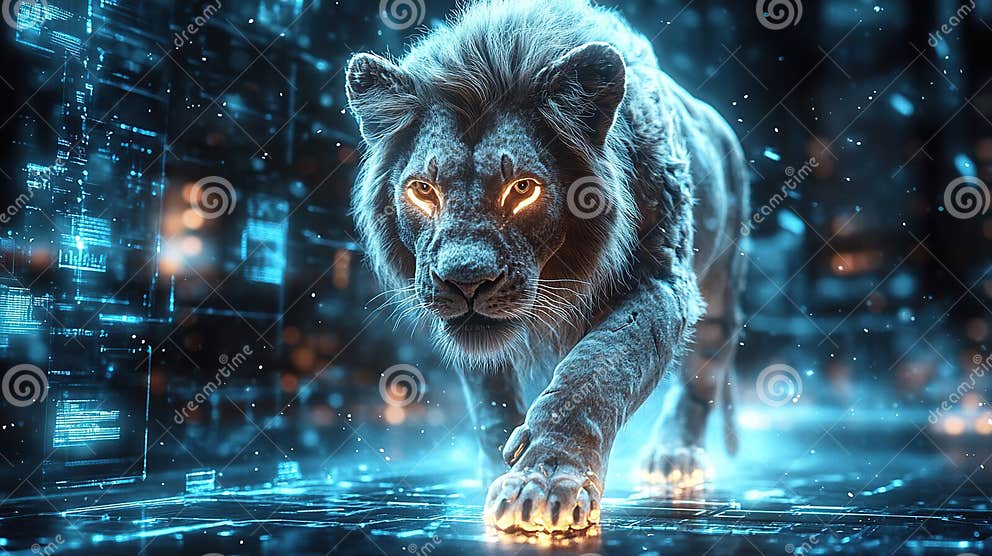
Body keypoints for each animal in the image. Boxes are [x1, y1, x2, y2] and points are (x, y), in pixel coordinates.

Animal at [346, 0, 748, 534]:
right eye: (423, 190)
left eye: (523, 188)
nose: (465, 281)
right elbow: (491, 401)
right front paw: (501, 468)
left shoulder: (661, 279)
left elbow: (597, 369)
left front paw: (544, 483)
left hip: (721, 285)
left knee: (706, 367)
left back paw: (675, 457)